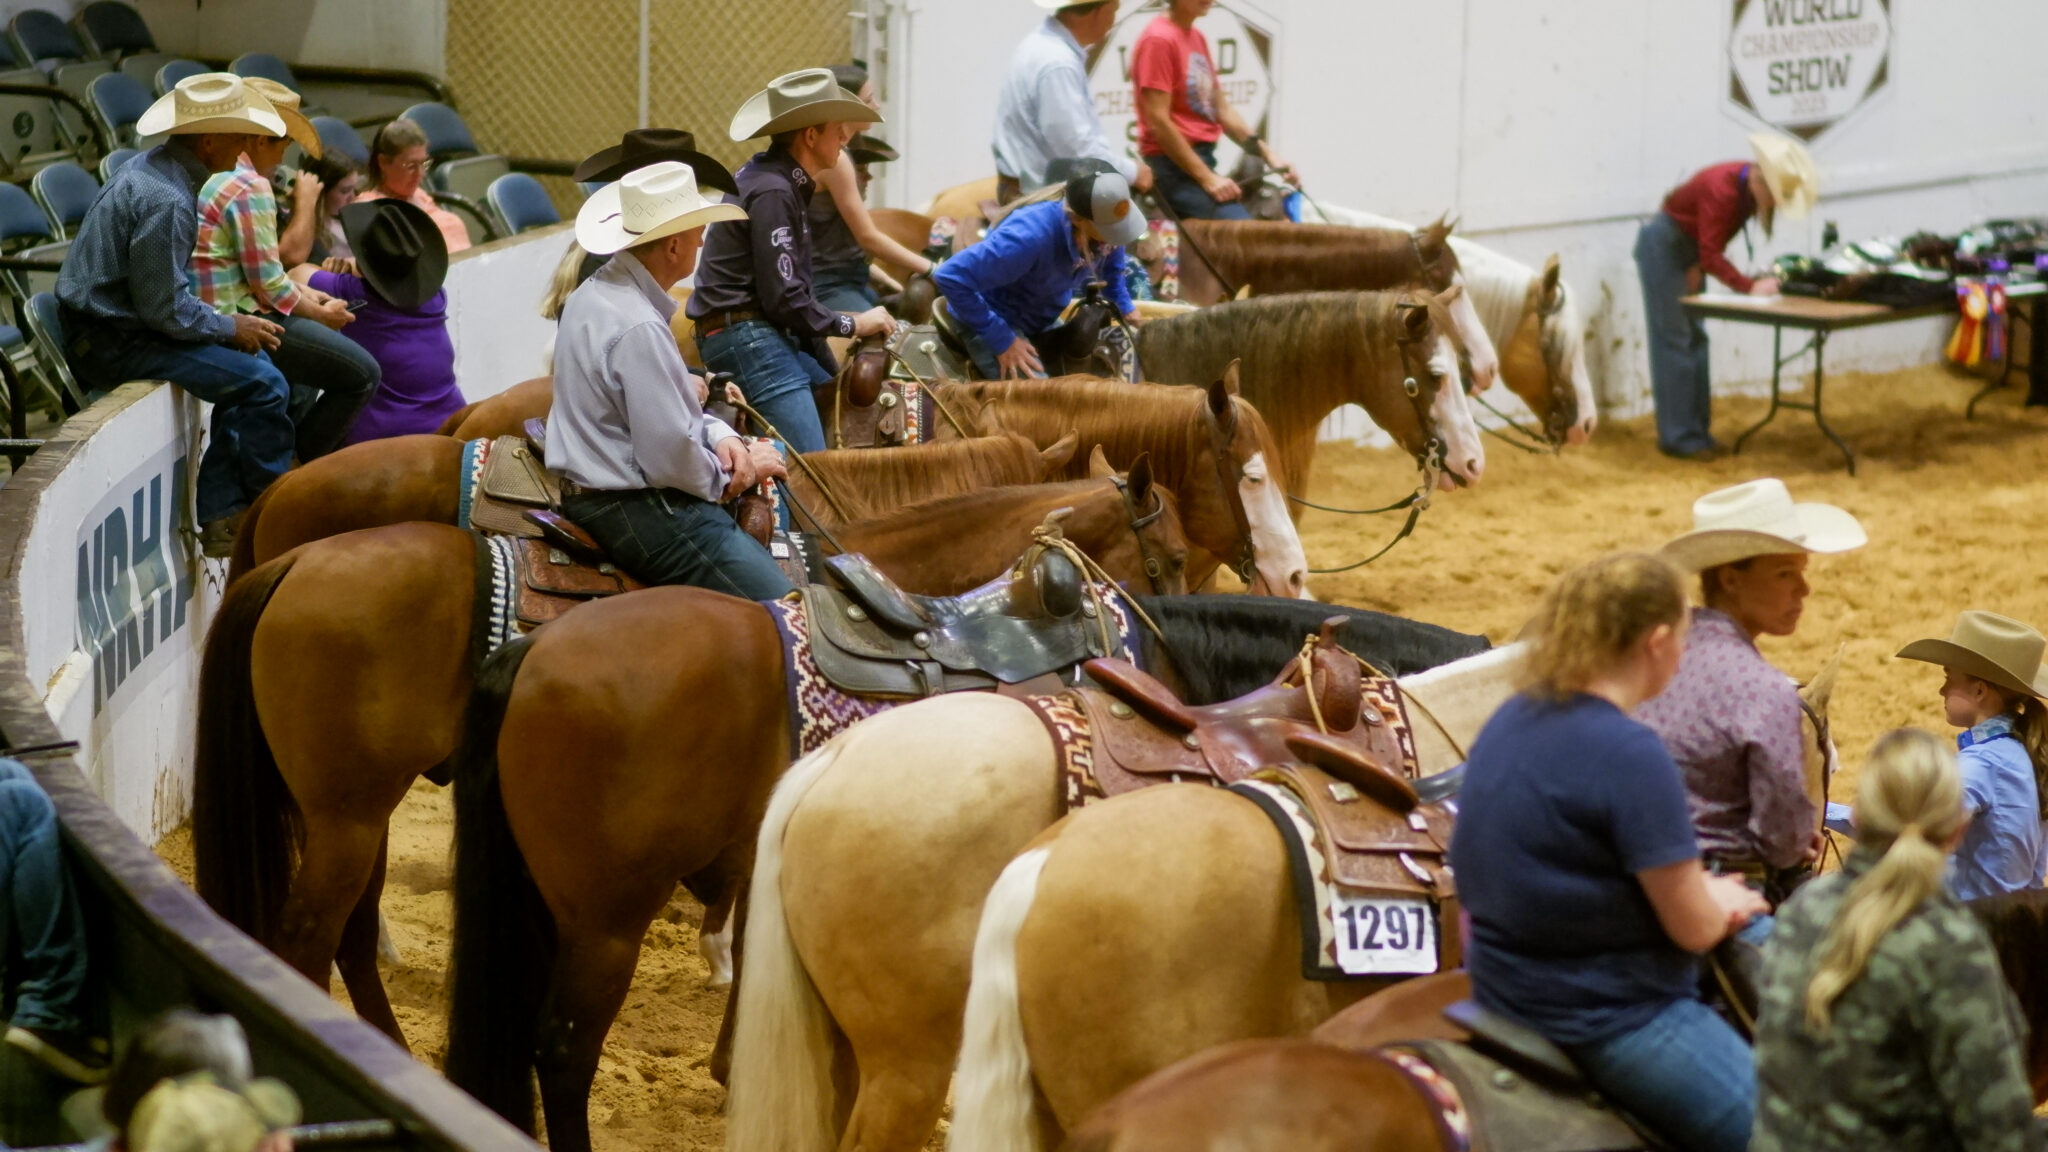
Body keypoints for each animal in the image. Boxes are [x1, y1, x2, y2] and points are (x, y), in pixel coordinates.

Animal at [191, 469, 1186, 1049]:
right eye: (1170, 556)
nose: (1166, 648)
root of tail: (292, 565)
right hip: (349, 810)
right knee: (313, 935)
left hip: (350, 805)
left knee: (349, 934)